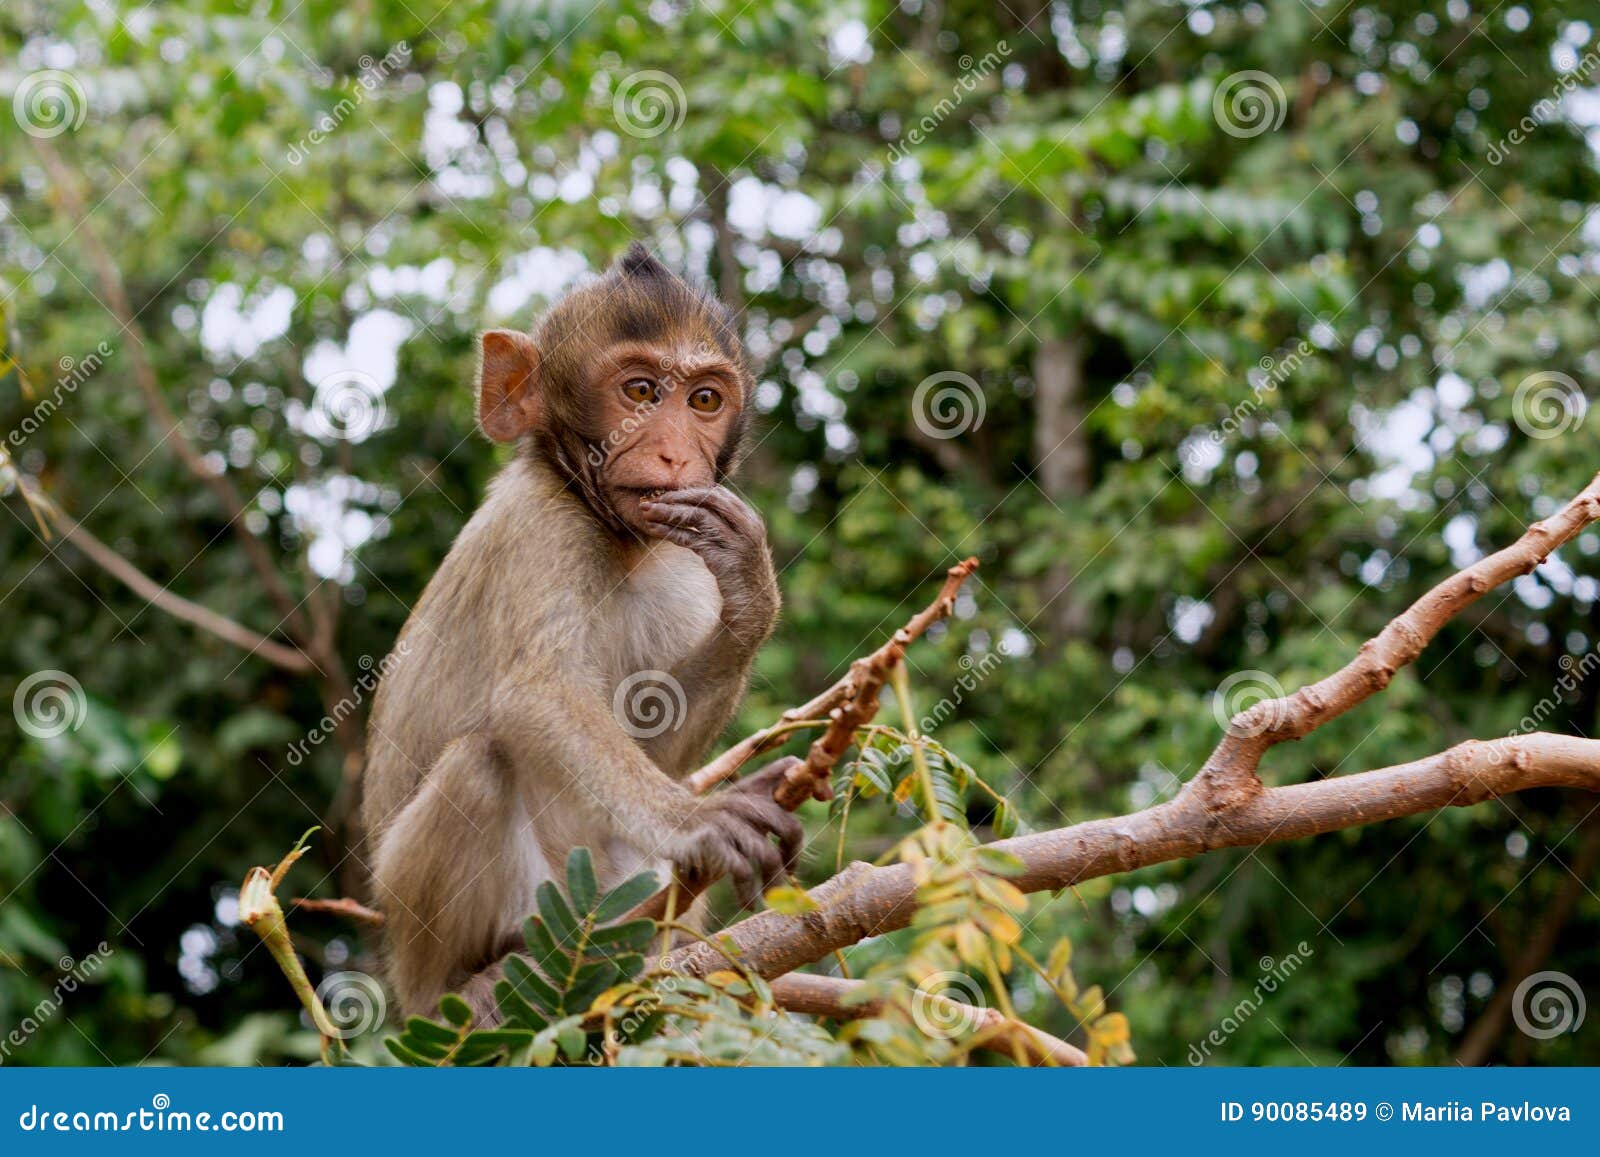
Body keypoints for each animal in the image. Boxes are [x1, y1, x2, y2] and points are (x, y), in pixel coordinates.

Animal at [361, 244, 803, 1022]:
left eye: (704, 401)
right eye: (640, 391)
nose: (674, 455)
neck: (611, 532)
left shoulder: (684, 563)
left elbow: (656, 734)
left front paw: (752, 591)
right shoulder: (542, 527)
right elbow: (539, 696)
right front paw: (697, 819)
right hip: (423, 926)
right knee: (480, 761)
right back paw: (469, 985)